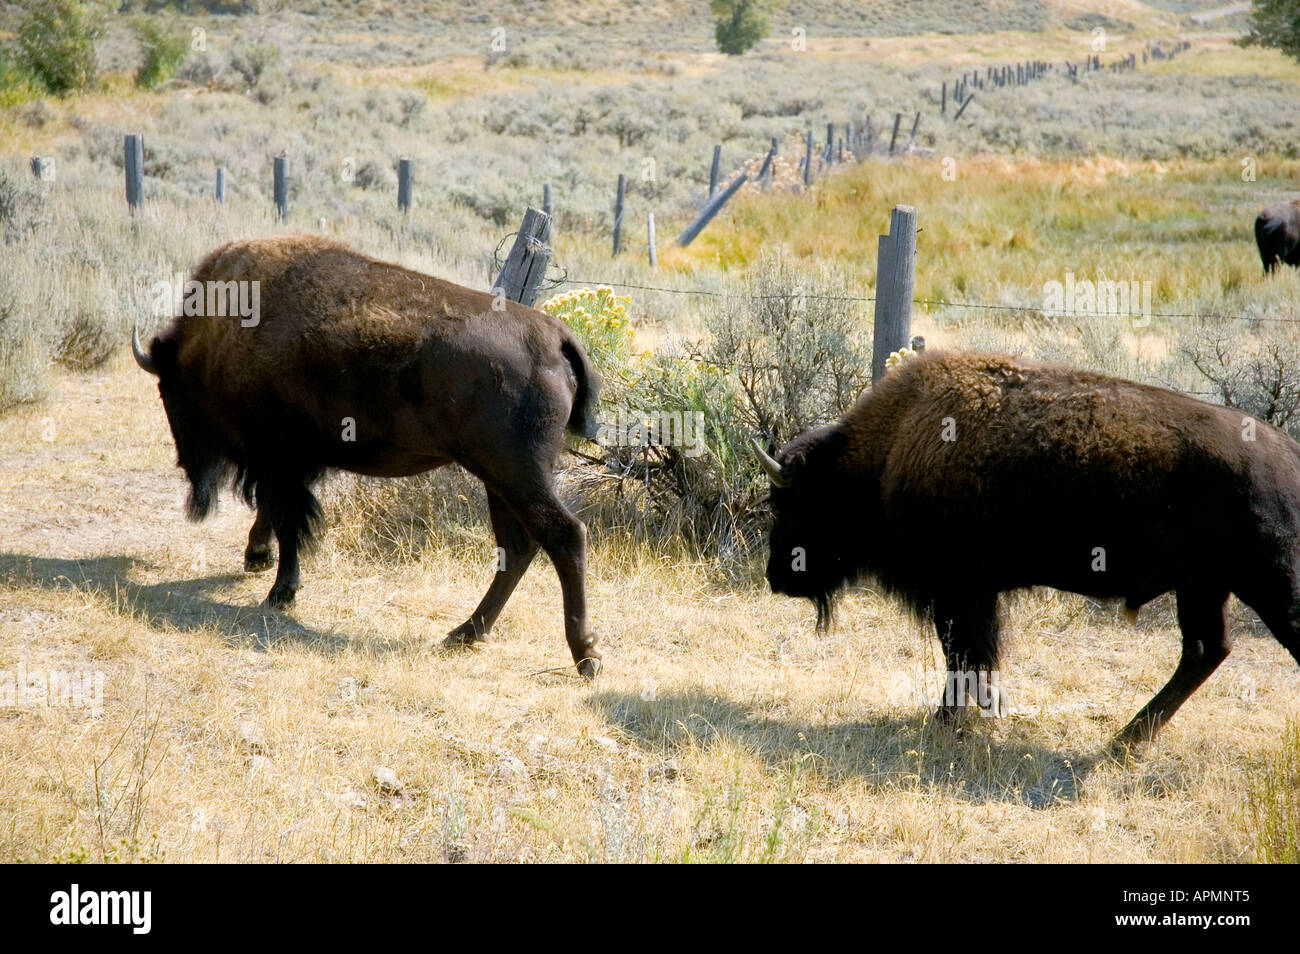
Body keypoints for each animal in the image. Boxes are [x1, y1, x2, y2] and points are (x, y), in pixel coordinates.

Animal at [133, 235, 603, 676]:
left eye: (168, 391)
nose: (185, 464)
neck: (224, 326)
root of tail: (555, 336)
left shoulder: (278, 462)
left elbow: (288, 523)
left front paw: (281, 592)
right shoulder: (291, 465)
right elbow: (276, 516)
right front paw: (257, 559)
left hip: (515, 475)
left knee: (564, 536)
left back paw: (585, 654)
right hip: (498, 480)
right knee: (518, 548)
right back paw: (464, 634)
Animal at [754, 350, 1300, 748]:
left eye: (793, 503)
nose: (775, 575)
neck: (886, 449)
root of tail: (1289, 455)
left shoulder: (958, 593)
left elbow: (964, 655)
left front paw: (947, 718)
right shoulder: (973, 596)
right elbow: (974, 656)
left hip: (1265, 586)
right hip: (1204, 587)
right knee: (1205, 650)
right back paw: (1125, 740)